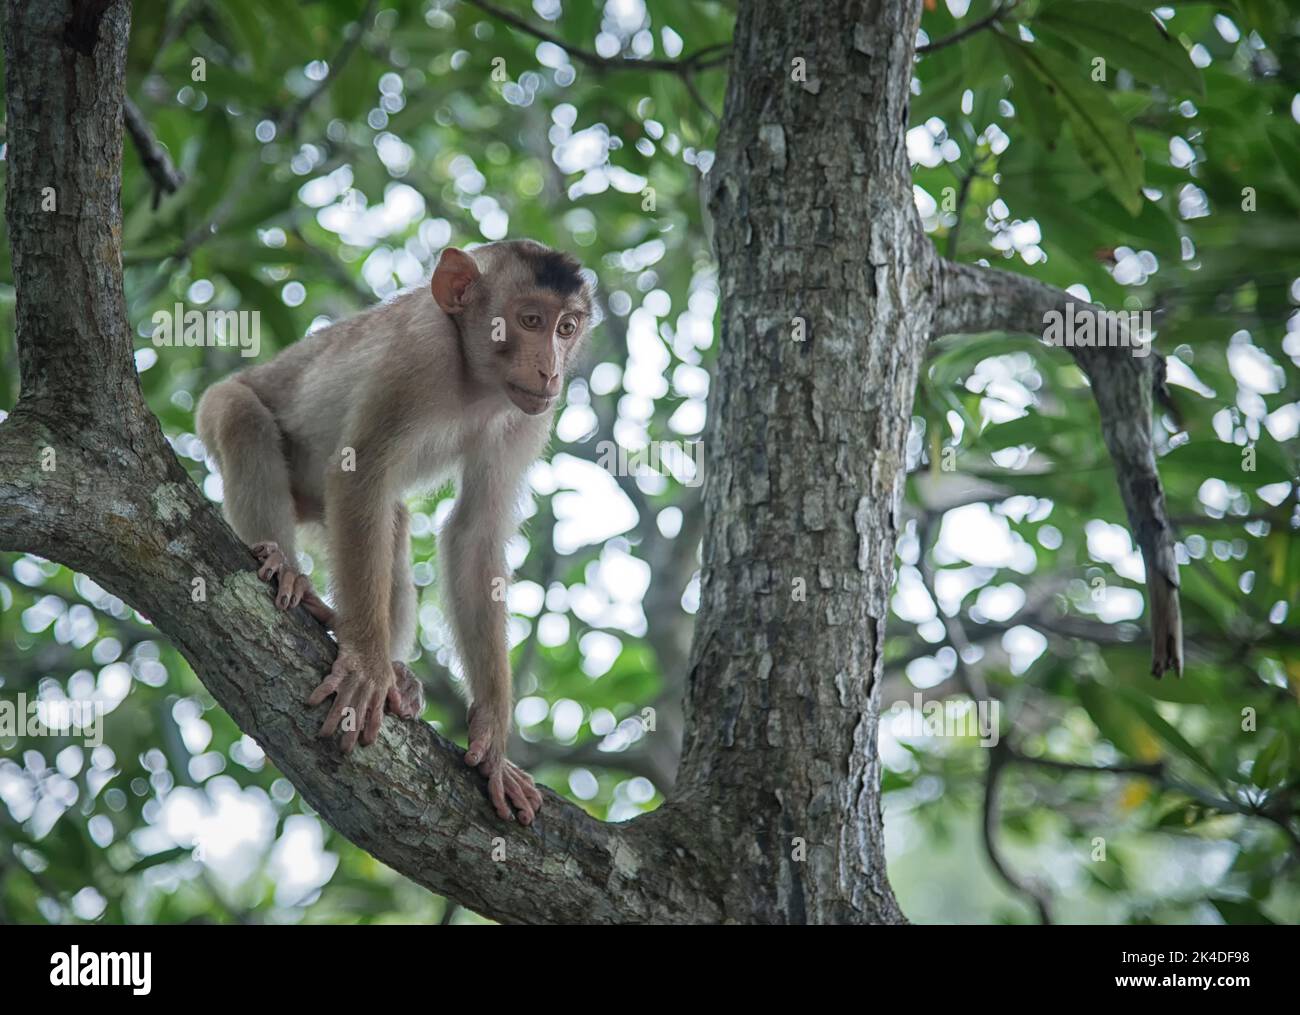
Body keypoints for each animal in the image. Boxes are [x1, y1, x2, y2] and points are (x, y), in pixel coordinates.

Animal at [195, 239, 596, 824]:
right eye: (529, 321)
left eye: (566, 328)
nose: (551, 370)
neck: (472, 378)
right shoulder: (417, 355)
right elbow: (358, 474)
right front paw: (365, 663)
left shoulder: (527, 416)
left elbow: (475, 534)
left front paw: (494, 739)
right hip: (219, 405)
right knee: (241, 417)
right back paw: (289, 573)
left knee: (395, 520)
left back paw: (397, 673)